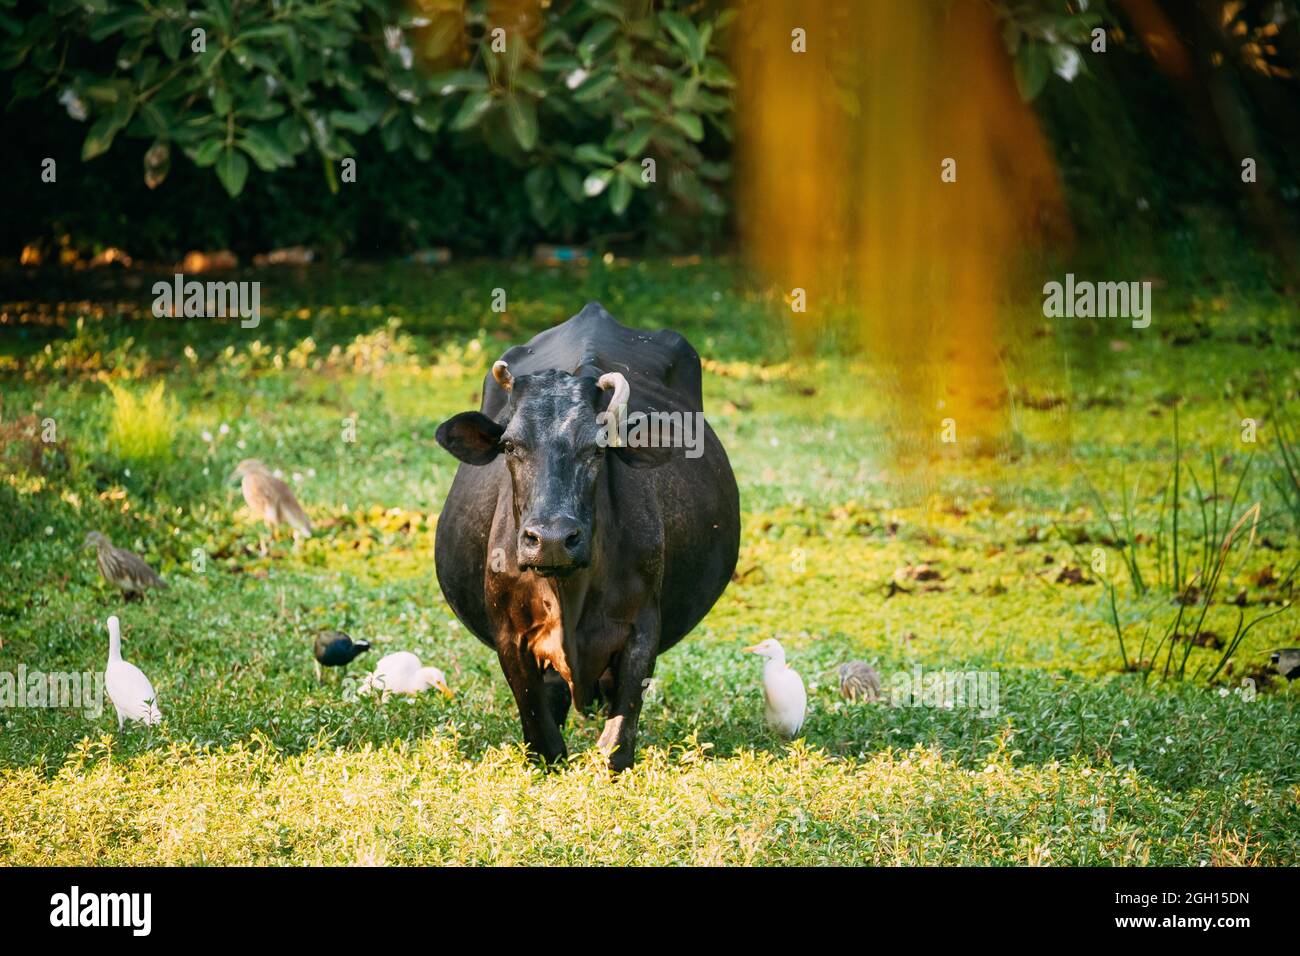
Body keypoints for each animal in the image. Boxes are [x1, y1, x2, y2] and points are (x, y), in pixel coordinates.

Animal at [434, 302, 740, 770]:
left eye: (597, 447)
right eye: (509, 446)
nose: (552, 539)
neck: (569, 591)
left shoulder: (642, 628)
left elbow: (617, 739)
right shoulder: (509, 634)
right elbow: (543, 736)